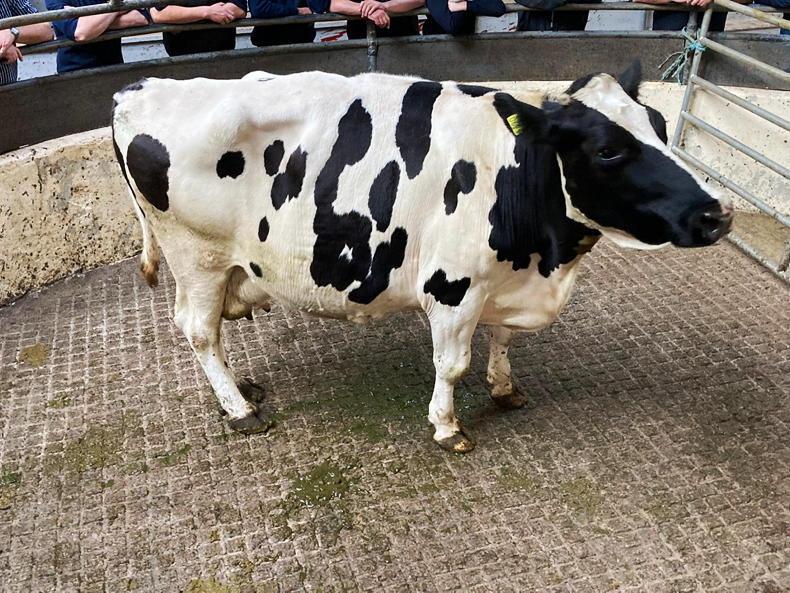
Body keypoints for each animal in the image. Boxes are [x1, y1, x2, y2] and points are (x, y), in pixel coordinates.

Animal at [111, 62, 732, 453]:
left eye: (659, 125)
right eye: (608, 150)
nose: (718, 214)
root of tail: (139, 89)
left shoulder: (503, 280)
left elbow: (504, 340)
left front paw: (504, 388)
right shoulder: (454, 287)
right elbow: (451, 365)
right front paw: (447, 427)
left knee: (212, 328)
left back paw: (241, 389)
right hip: (197, 256)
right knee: (198, 329)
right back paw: (239, 409)